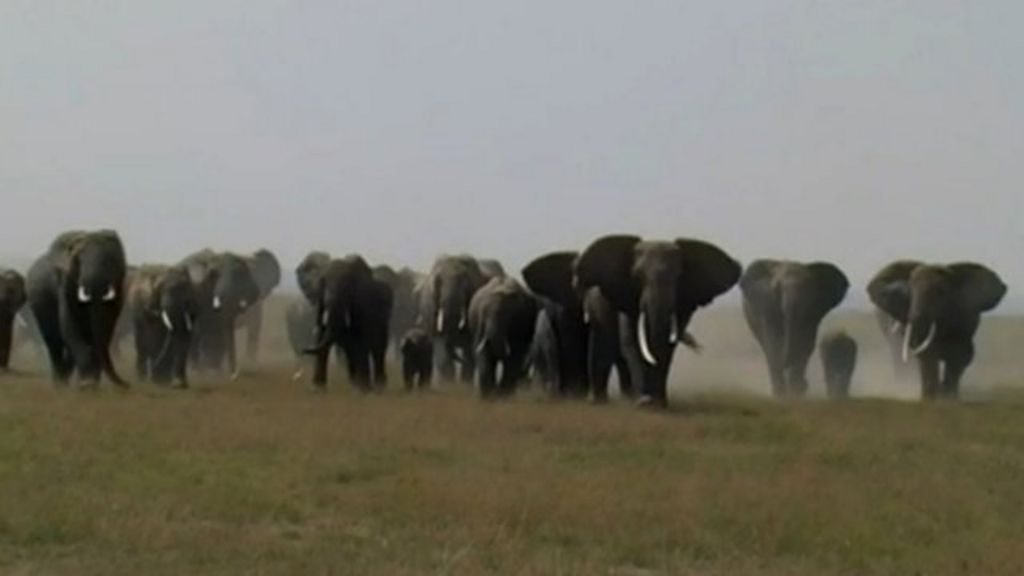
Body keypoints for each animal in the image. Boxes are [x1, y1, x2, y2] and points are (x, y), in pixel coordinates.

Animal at [26, 230, 130, 386]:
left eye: (110, 262)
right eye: (78, 261)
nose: (127, 385)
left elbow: (106, 328)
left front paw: (90, 383)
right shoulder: (65, 282)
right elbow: (69, 325)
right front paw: (87, 384)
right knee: (53, 341)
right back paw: (59, 383)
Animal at [302, 254, 394, 390]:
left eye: (346, 287)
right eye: (323, 283)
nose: (302, 350)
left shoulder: (362, 303)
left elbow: (361, 339)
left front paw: (363, 389)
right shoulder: (319, 303)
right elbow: (320, 332)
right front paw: (316, 388)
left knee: (378, 348)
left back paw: (377, 386)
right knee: (350, 349)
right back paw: (354, 383)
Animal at [573, 235, 741, 407]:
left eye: (678, 276)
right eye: (638, 276)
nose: (650, 398)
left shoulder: (683, 300)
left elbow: (668, 345)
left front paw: (659, 403)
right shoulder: (627, 296)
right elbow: (633, 341)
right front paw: (645, 403)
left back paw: (628, 397)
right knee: (603, 344)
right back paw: (600, 401)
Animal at [740, 260, 850, 398]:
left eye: (808, 291)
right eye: (777, 289)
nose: (806, 384)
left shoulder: (813, 311)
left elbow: (806, 343)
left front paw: (796, 391)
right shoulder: (768, 305)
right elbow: (774, 343)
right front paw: (784, 394)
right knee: (767, 349)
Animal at [867, 261, 1007, 400]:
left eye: (941, 293)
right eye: (909, 292)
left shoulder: (962, 320)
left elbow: (957, 355)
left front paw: (948, 399)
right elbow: (928, 354)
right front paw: (930, 399)